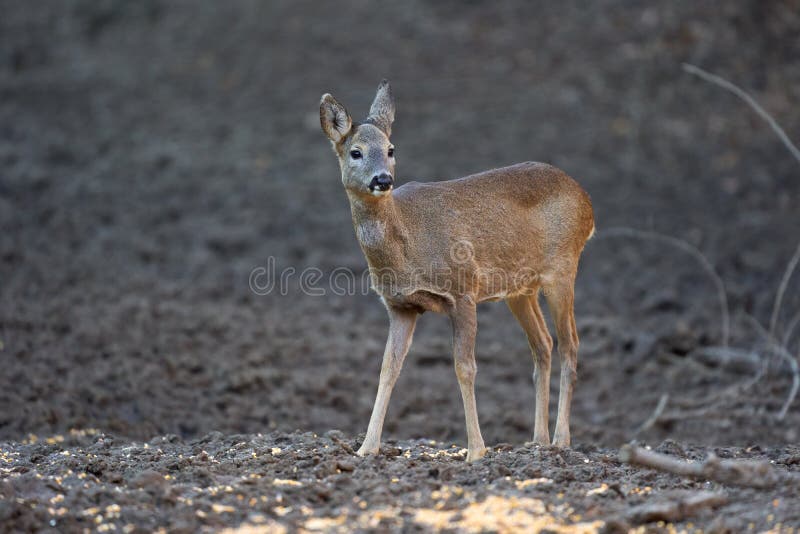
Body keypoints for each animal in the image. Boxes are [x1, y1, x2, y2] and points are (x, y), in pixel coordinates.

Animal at [319, 80, 595, 462]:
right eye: (356, 152)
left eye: (391, 149)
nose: (383, 179)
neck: (408, 243)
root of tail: (586, 201)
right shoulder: (401, 306)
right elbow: (388, 369)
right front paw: (365, 448)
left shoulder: (462, 289)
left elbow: (465, 368)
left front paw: (476, 451)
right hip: (520, 288)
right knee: (543, 343)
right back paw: (537, 440)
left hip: (562, 267)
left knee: (570, 344)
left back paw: (560, 440)